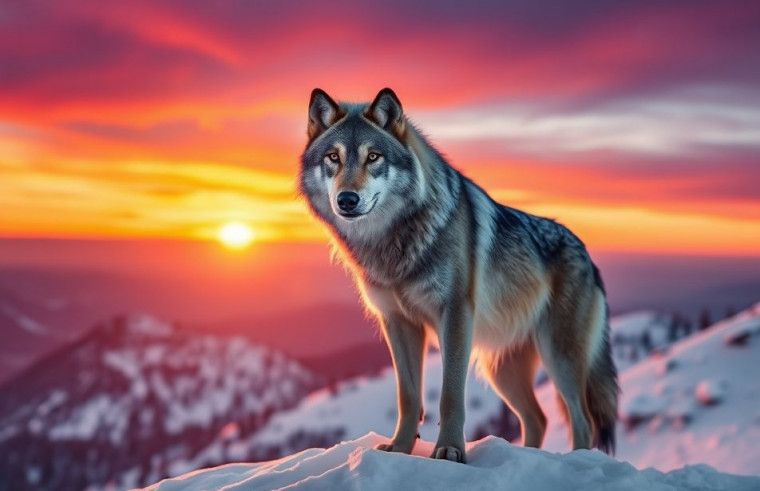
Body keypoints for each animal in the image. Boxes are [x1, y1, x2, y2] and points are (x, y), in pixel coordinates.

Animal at [299, 88, 619, 463]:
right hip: (503, 372)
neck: (393, 243)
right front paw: (400, 449)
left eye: (373, 156)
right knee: (537, 418)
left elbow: (450, 394)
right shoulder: (398, 323)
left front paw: (450, 450)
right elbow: (408, 397)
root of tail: (588, 256)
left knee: (582, 419)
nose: (347, 199)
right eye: (333, 157)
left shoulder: (454, 314)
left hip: (559, 358)